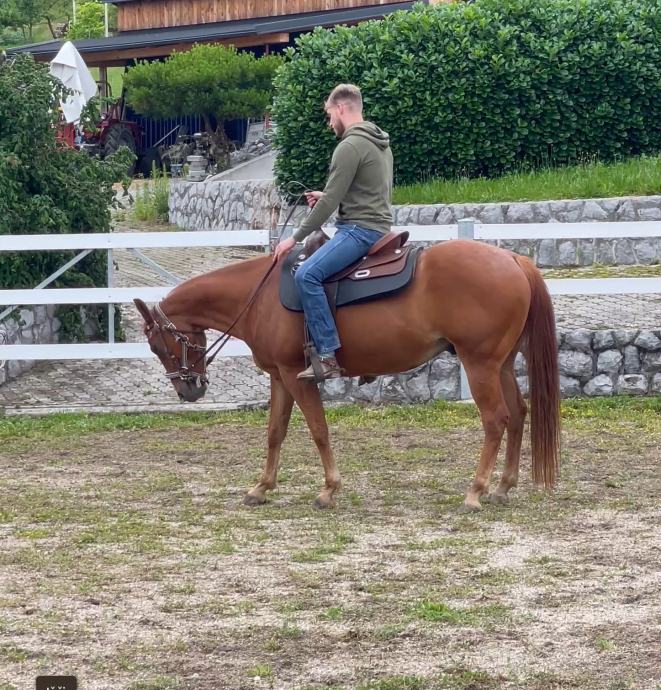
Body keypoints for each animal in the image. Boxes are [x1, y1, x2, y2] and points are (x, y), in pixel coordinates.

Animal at [134, 238, 560, 512]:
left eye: (158, 346)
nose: (188, 390)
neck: (259, 296)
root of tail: (513, 260)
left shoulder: (296, 374)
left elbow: (318, 430)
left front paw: (329, 490)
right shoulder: (278, 377)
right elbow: (275, 432)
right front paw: (261, 487)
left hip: (479, 364)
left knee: (496, 419)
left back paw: (476, 490)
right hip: (500, 364)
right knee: (518, 414)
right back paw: (502, 487)